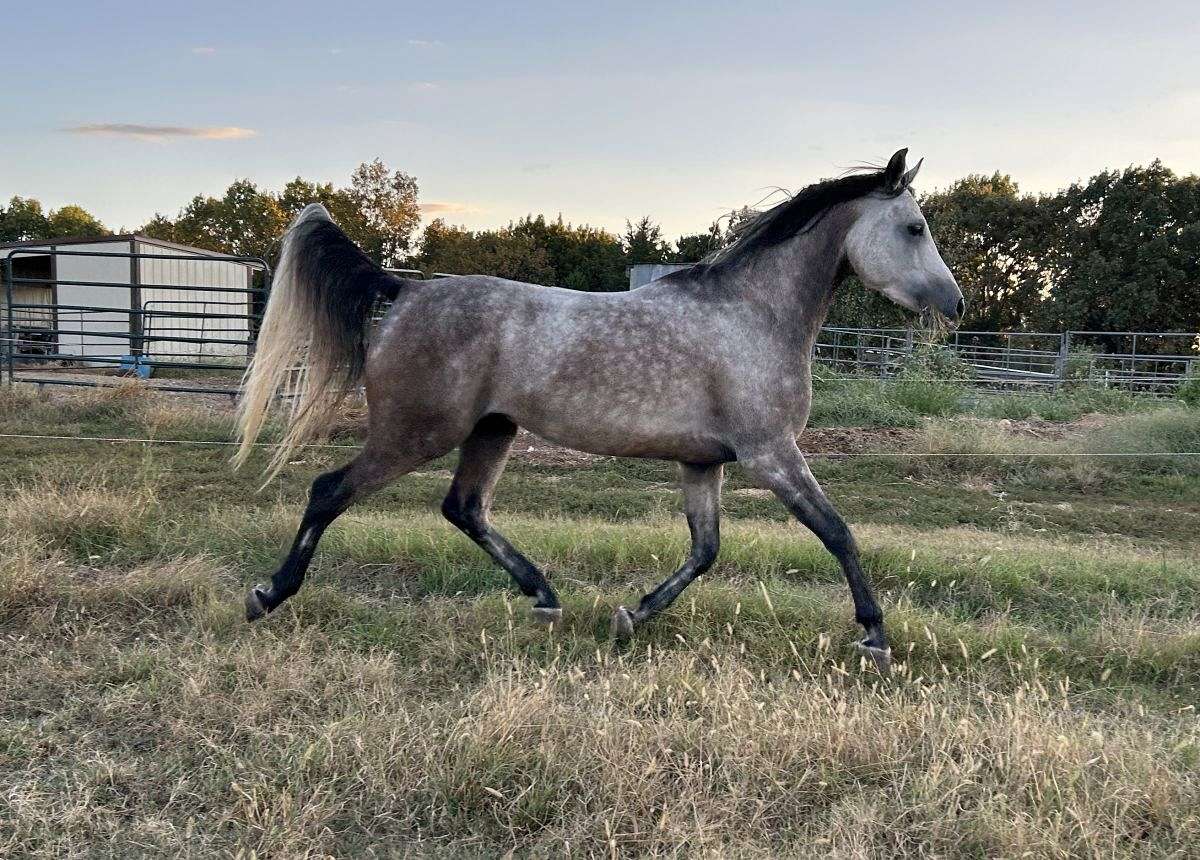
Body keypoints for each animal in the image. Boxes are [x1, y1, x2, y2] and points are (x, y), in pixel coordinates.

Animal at [235, 148, 963, 671]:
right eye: (914, 227)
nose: (955, 305)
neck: (752, 316)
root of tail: (405, 292)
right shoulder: (771, 454)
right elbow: (837, 532)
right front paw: (875, 637)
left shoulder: (705, 464)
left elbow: (706, 551)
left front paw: (630, 617)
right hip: (416, 432)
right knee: (330, 491)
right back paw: (268, 595)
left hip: (490, 431)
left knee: (465, 508)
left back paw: (544, 598)